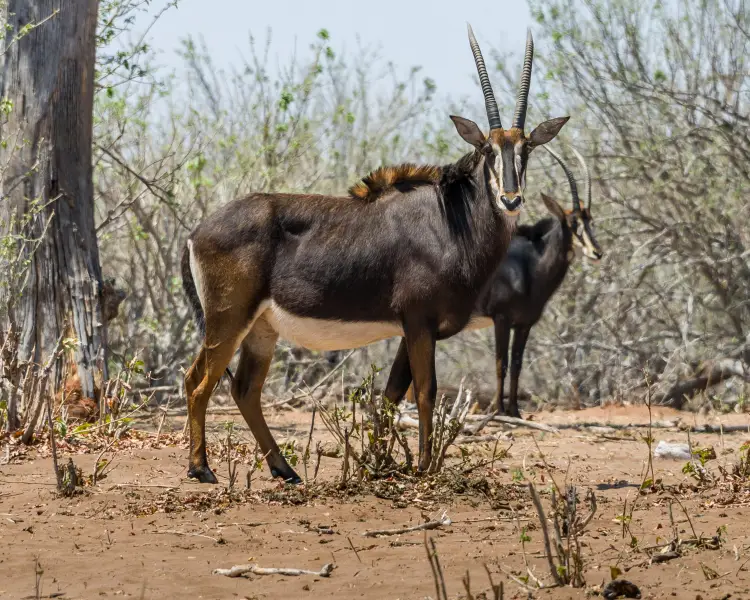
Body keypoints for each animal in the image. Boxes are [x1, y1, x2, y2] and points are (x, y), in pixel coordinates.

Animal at [180, 26, 569, 483]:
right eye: (487, 150)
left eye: (526, 150)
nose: (511, 199)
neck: (449, 218)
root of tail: (196, 232)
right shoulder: (419, 323)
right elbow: (424, 392)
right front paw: (423, 467)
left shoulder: (412, 329)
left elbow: (391, 395)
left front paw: (378, 462)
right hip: (229, 319)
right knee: (198, 382)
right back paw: (201, 468)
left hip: (261, 328)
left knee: (244, 388)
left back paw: (285, 470)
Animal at [396, 146, 603, 417]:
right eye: (572, 223)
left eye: (590, 222)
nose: (597, 252)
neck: (528, 267)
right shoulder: (501, 319)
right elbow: (500, 363)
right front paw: (498, 409)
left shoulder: (524, 324)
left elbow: (516, 364)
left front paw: (514, 409)